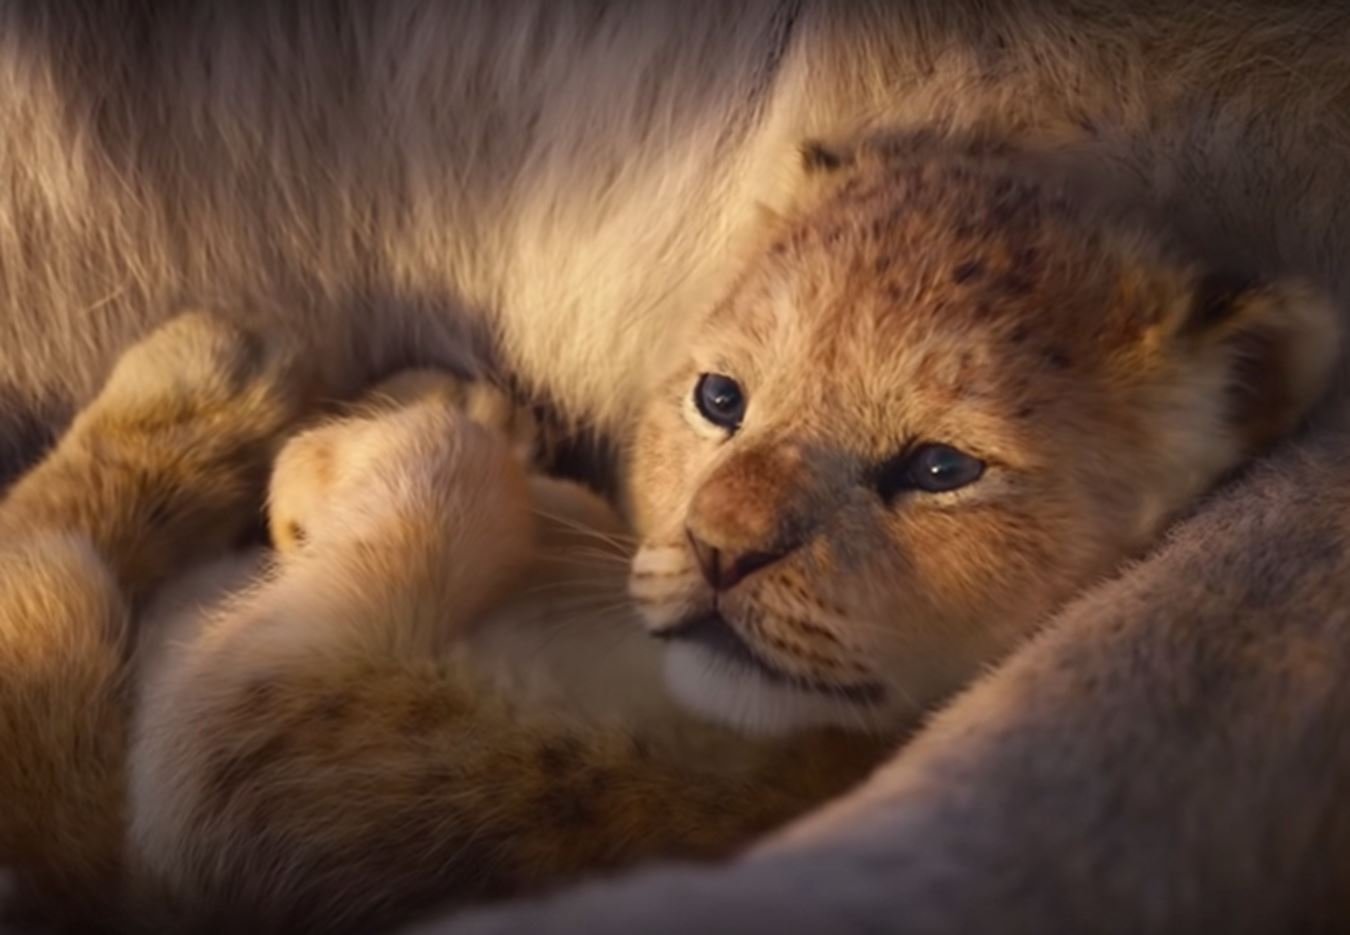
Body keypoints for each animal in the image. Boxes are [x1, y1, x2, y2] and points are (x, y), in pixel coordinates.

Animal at [4, 3, 1350, 933]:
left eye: (938, 466)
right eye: (720, 399)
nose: (719, 550)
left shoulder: (254, 773)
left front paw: (339, 460)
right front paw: (417, 420)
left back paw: (215, 375)